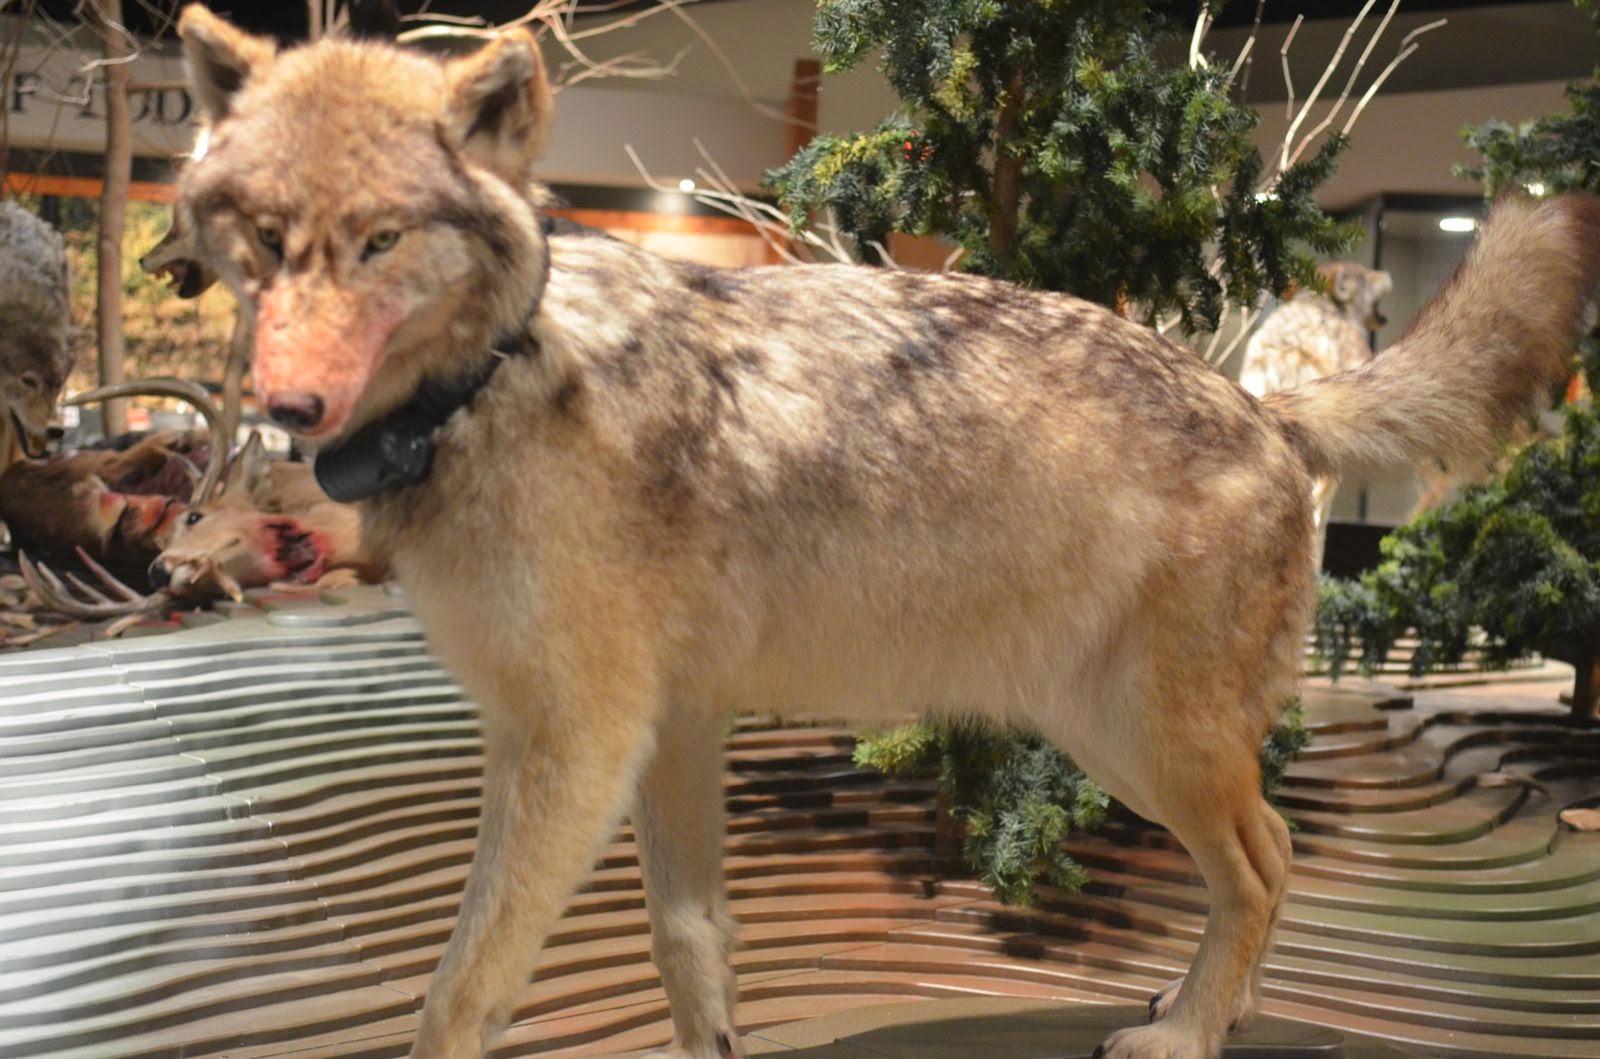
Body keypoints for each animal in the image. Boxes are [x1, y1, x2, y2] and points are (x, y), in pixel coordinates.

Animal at [172, 8, 1600, 1058]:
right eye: (267, 242)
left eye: (379, 241)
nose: (288, 406)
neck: (488, 390)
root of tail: (1262, 406)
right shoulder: (668, 730)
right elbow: (690, 951)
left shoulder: (571, 745)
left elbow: (459, 991)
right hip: (1116, 742)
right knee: (1282, 853)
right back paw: (1224, 1006)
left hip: (1149, 748)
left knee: (1259, 863)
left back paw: (1187, 1033)